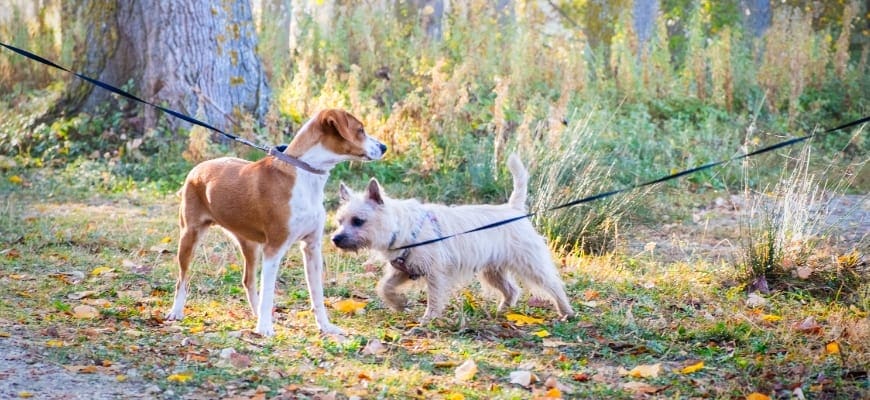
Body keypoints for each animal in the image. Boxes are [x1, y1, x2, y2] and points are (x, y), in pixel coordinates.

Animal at [169, 108, 386, 334]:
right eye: (360, 130)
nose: (384, 147)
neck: (304, 176)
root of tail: (198, 168)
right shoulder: (274, 248)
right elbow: (268, 293)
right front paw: (265, 328)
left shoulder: (312, 247)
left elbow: (317, 294)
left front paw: (325, 326)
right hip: (189, 235)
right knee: (182, 279)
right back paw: (176, 311)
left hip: (250, 244)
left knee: (248, 280)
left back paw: (256, 314)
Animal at [330, 153, 576, 324]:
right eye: (340, 220)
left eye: (358, 221)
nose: (335, 239)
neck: (402, 228)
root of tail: (513, 209)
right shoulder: (403, 270)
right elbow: (384, 287)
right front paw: (399, 304)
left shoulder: (435, 273)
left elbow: (434, 298)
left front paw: (428, 319)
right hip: (492, 270)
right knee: (511, 290)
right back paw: (502, 310)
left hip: (529, 263)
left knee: (553, 285)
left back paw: (566, 311)